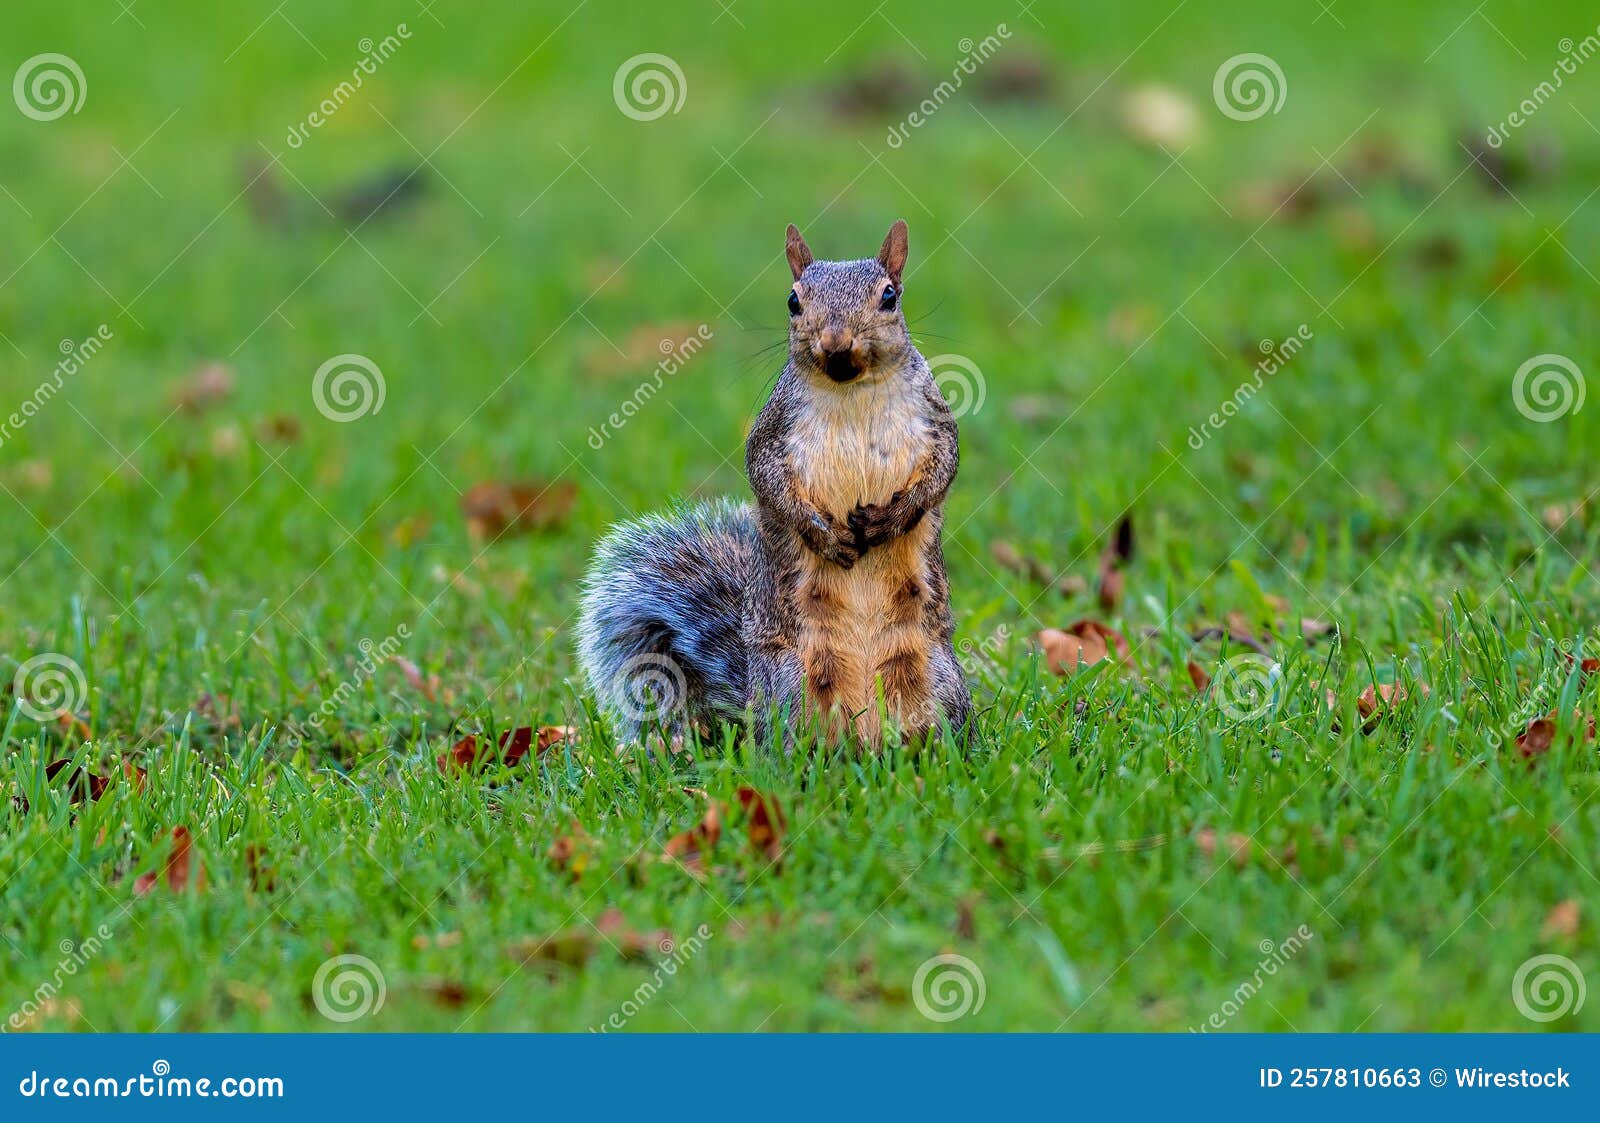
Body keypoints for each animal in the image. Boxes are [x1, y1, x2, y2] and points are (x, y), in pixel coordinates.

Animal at [577, 220, 972, 749]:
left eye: (890, 296)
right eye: (792, 301)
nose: (836, 343)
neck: (850, 390)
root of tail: (865, 735)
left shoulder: (936, 416)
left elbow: (942, 468)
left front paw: (894, 517)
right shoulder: (772, 428)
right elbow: (767, 478)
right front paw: (822, 534)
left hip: (938, 677)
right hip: (791, 681)